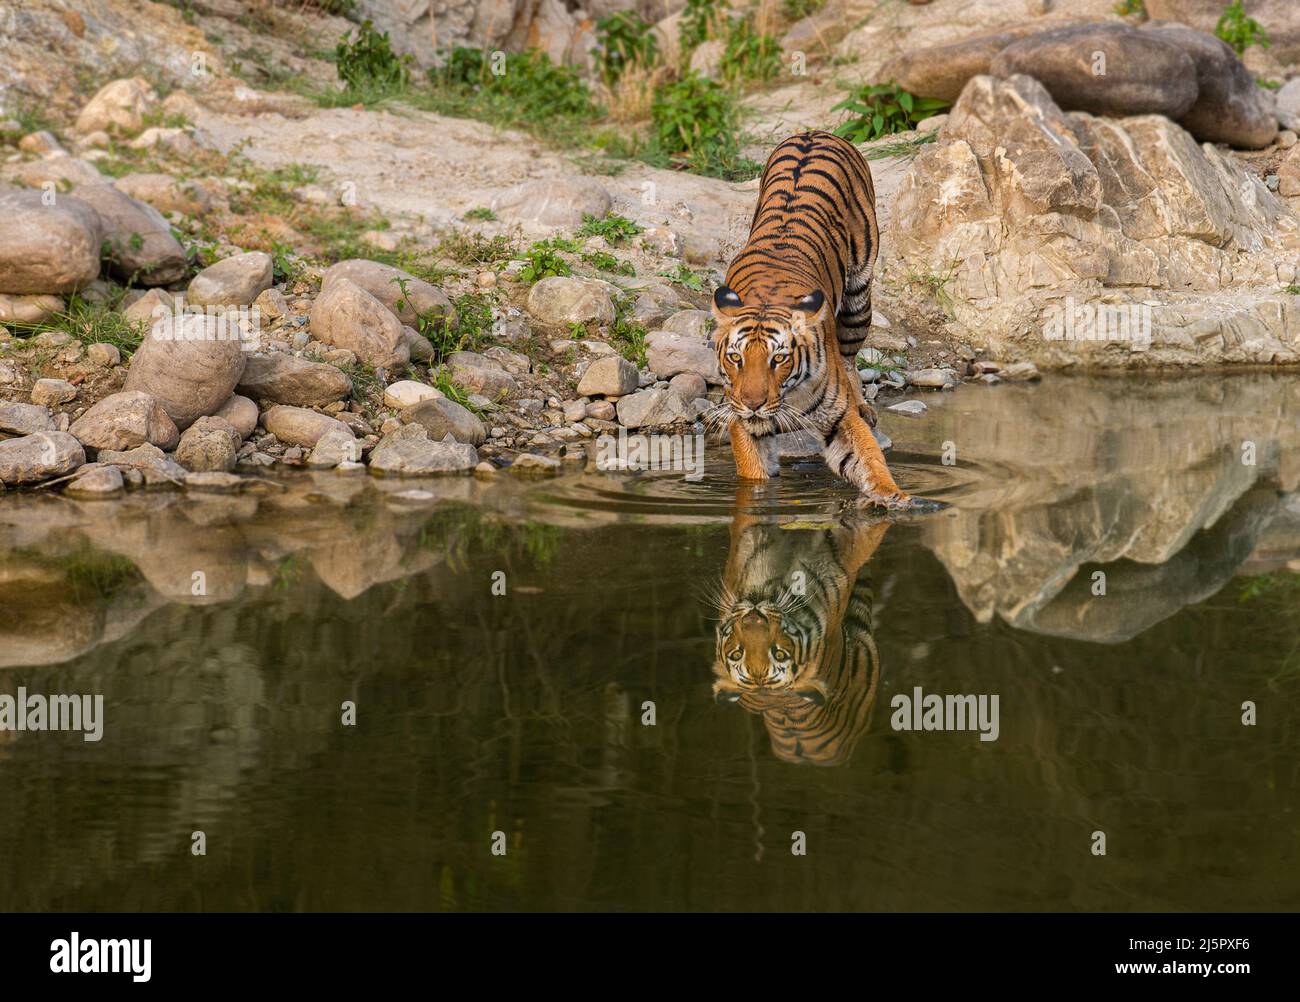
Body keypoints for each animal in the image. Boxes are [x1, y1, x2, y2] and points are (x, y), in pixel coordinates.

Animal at [709, 130, 913, 509]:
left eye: (778, 359)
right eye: (735, 358)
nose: (754, 405)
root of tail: (814, 133)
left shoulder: (837, 415)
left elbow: (867, 459)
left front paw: (895, 497)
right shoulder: (742, 419)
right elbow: (754, 473)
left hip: (859, 297)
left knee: (850, 357)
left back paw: (864, 406)